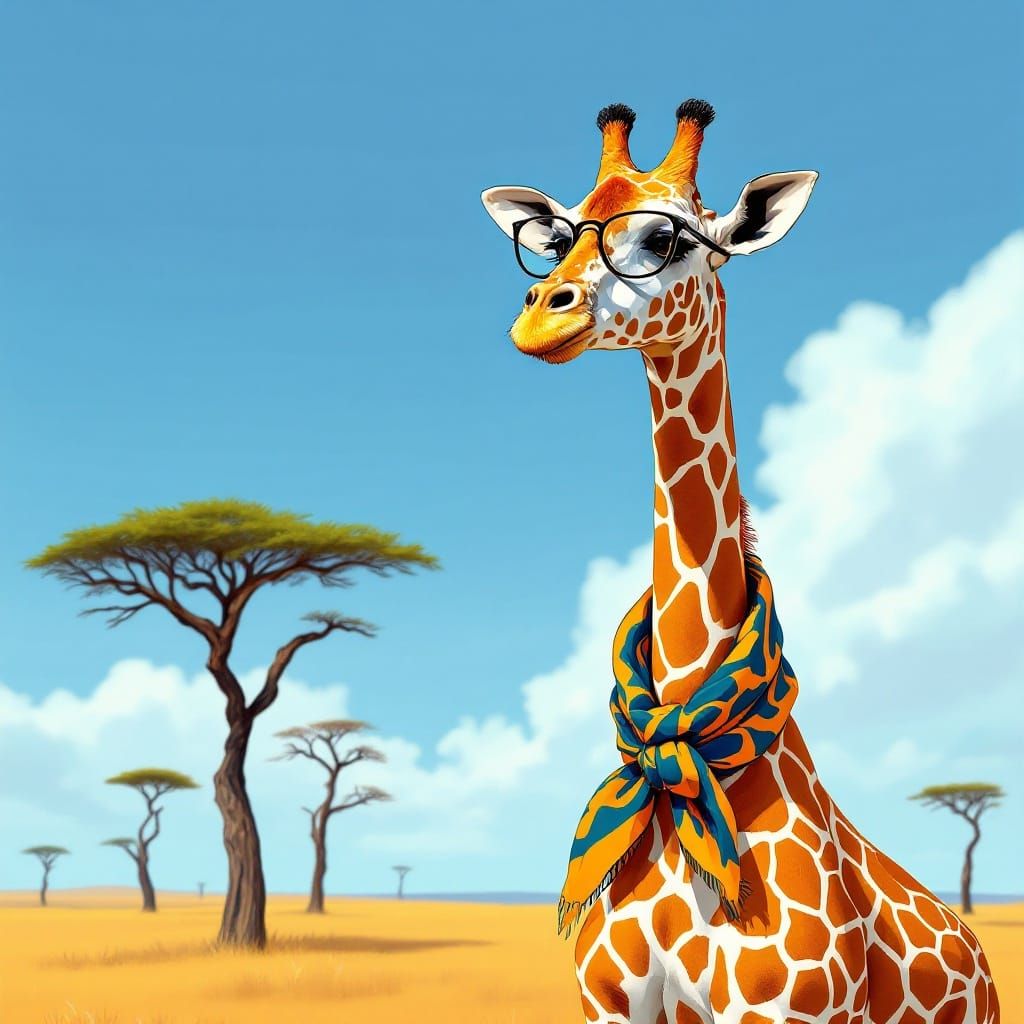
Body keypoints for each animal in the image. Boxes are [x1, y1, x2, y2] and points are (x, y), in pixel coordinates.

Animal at [482, 101, 1000, 1024]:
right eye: (558, 239)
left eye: (667, 236)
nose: (543, 315)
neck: (692, 748)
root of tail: (981, 957)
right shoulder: (609, 1005)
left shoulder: (785, 1009)